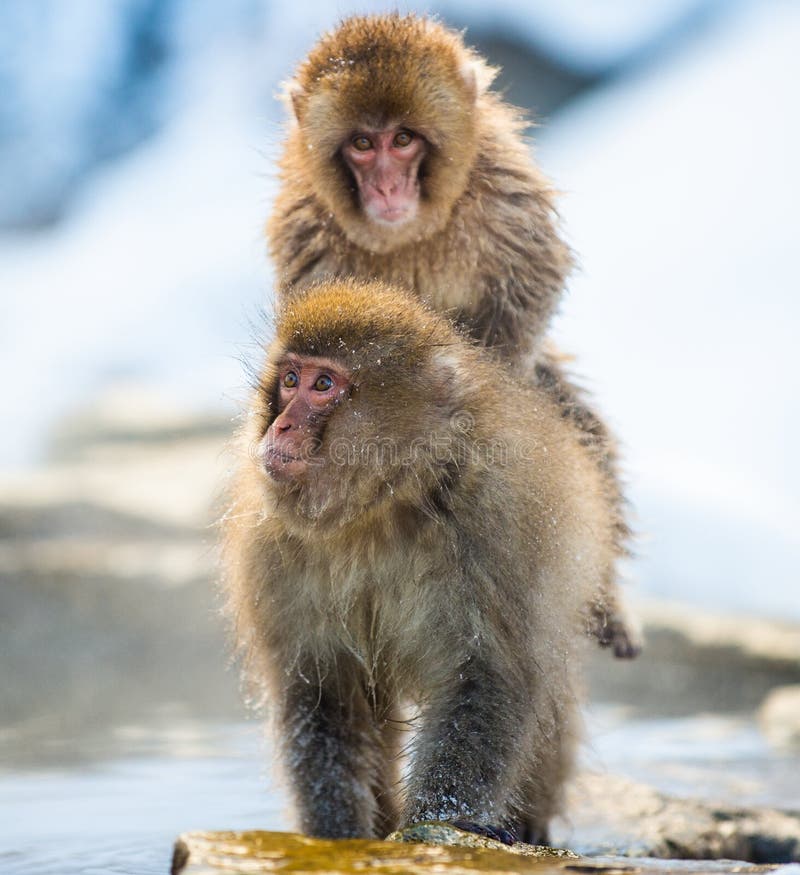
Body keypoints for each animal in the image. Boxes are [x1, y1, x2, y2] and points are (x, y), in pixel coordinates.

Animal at [223, 278, 624, 844]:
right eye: (290, 379)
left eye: (323, 384)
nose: (280, 427)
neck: (384, 504)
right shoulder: (274, 544)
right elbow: (322, 693)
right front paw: (338, 834)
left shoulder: (499, 522)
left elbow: (489, 678)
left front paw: (436, 822)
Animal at [267, 13, 639, 659]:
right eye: (362, 145)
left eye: (402, 141)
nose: (387, 189)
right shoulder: (305, 235)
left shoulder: (504, 192)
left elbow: (531, 284)